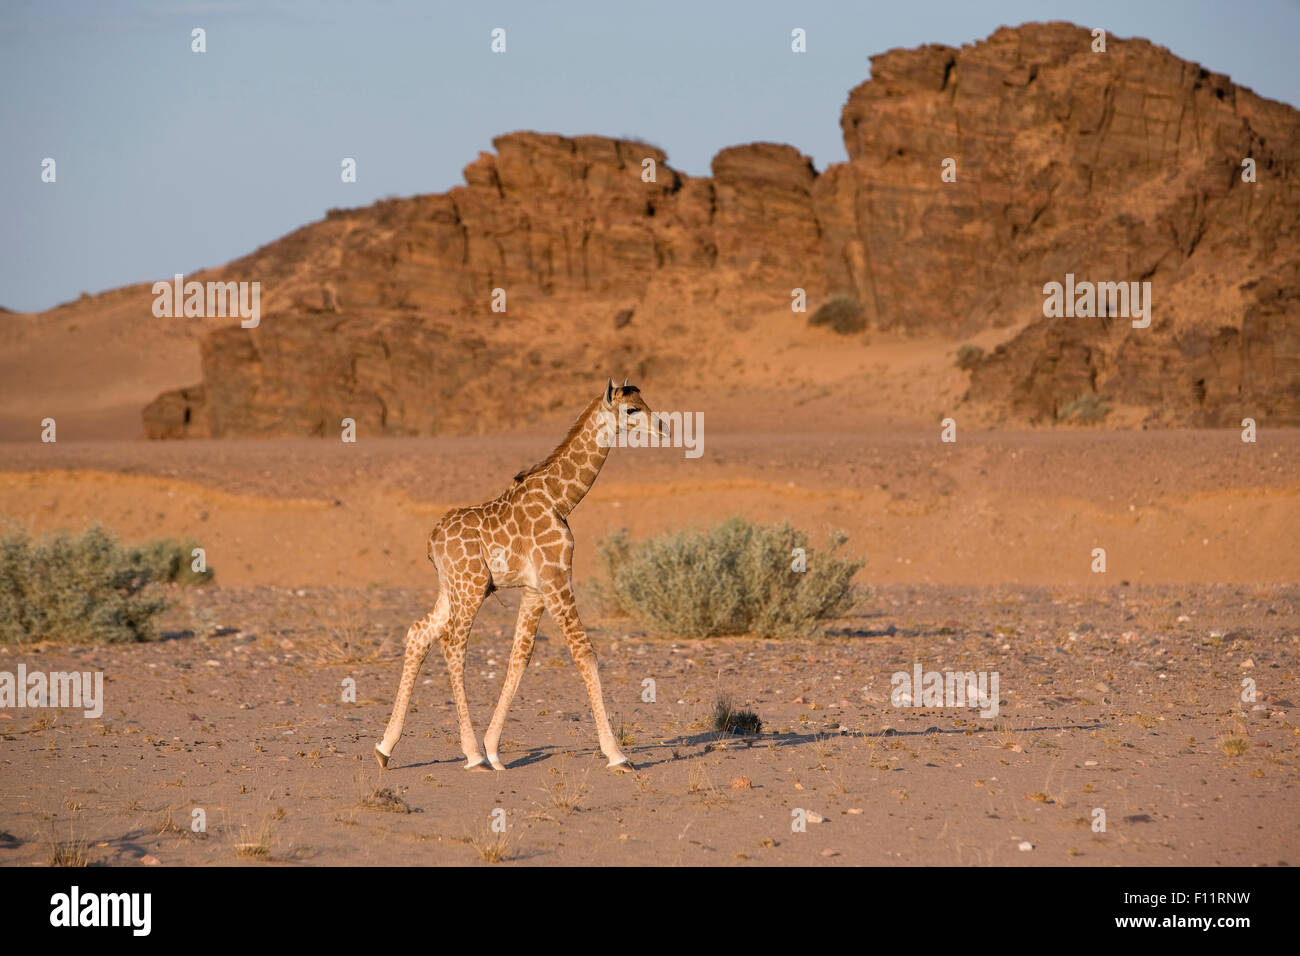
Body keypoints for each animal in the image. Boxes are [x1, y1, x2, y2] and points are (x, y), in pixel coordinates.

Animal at [376, 378, 664, 773]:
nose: (662, 427)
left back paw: (385, 748)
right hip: (470, 587)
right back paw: (471, 755)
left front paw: (495, 749)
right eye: (632, 409)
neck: (560, 499)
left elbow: (520, 656)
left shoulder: (534, 588)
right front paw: (617, 755)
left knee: (420, 633)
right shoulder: (556, 576)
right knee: (453, 645)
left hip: (453, 589)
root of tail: (431, 541)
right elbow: (584, 652)